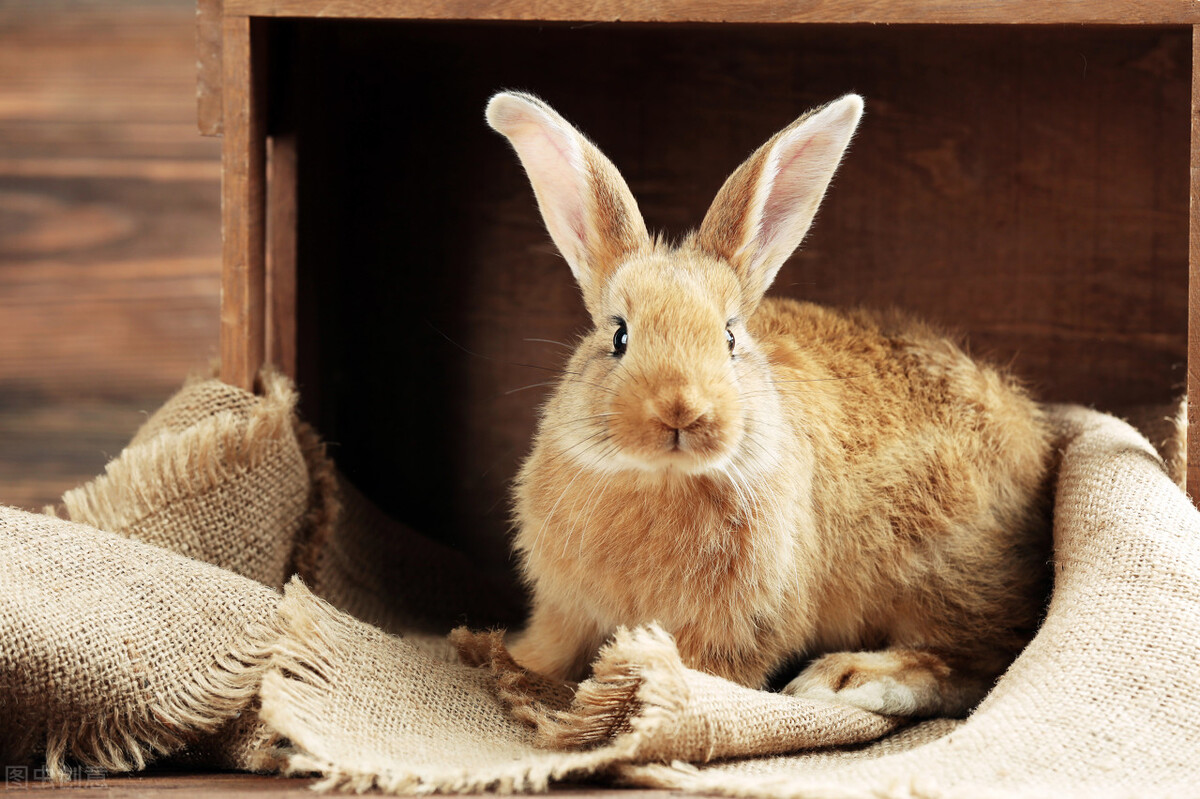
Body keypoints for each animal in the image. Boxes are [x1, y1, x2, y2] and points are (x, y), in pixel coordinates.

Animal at [487, 91, 1053, 718]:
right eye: (619, 336)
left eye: (731, 337)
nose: (681, 410)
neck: (661, 478)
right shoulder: (565, 610)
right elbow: (552, 647)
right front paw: (515, 663)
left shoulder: (738, 626)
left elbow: (705, 674)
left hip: (944, 572)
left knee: (976, 658)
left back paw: (846, 679)